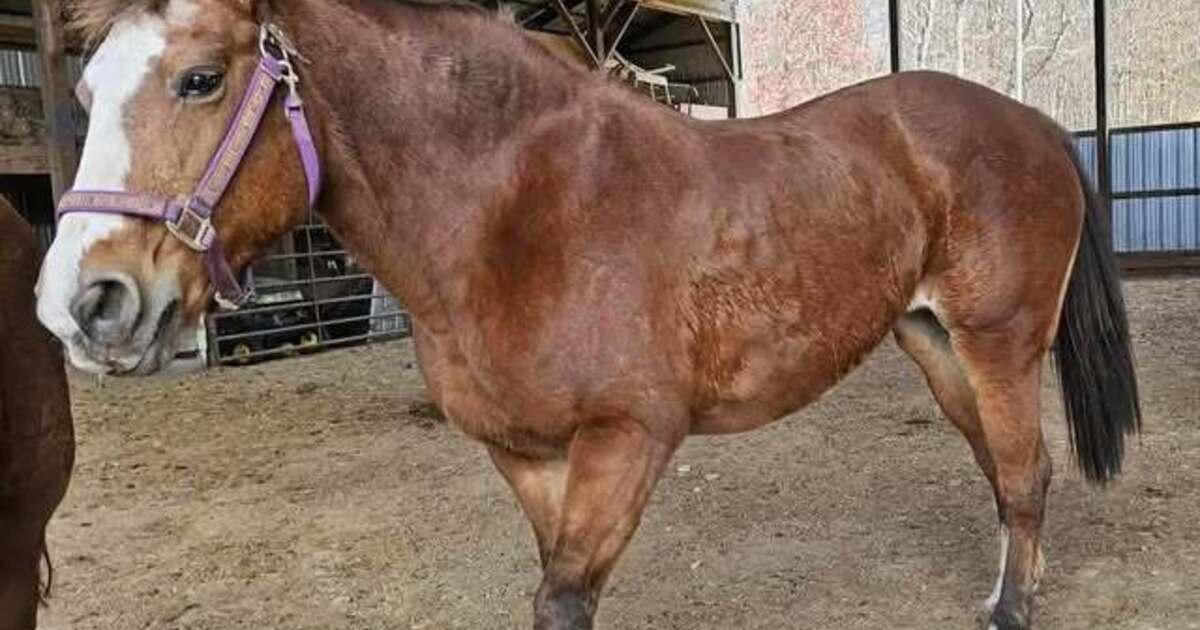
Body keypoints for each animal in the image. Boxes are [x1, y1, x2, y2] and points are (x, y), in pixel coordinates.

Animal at [34, 1, 1141, 628]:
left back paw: (1012, 612)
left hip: (999, 344)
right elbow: (554, 582)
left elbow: (564, 598)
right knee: (1006, 475)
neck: (522, 212)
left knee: (1026, 475)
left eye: (201, 78)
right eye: (84, 92)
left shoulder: (628, 440)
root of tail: (1030, 120)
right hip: (933, 342)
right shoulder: (525, 453)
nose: (81, 302)